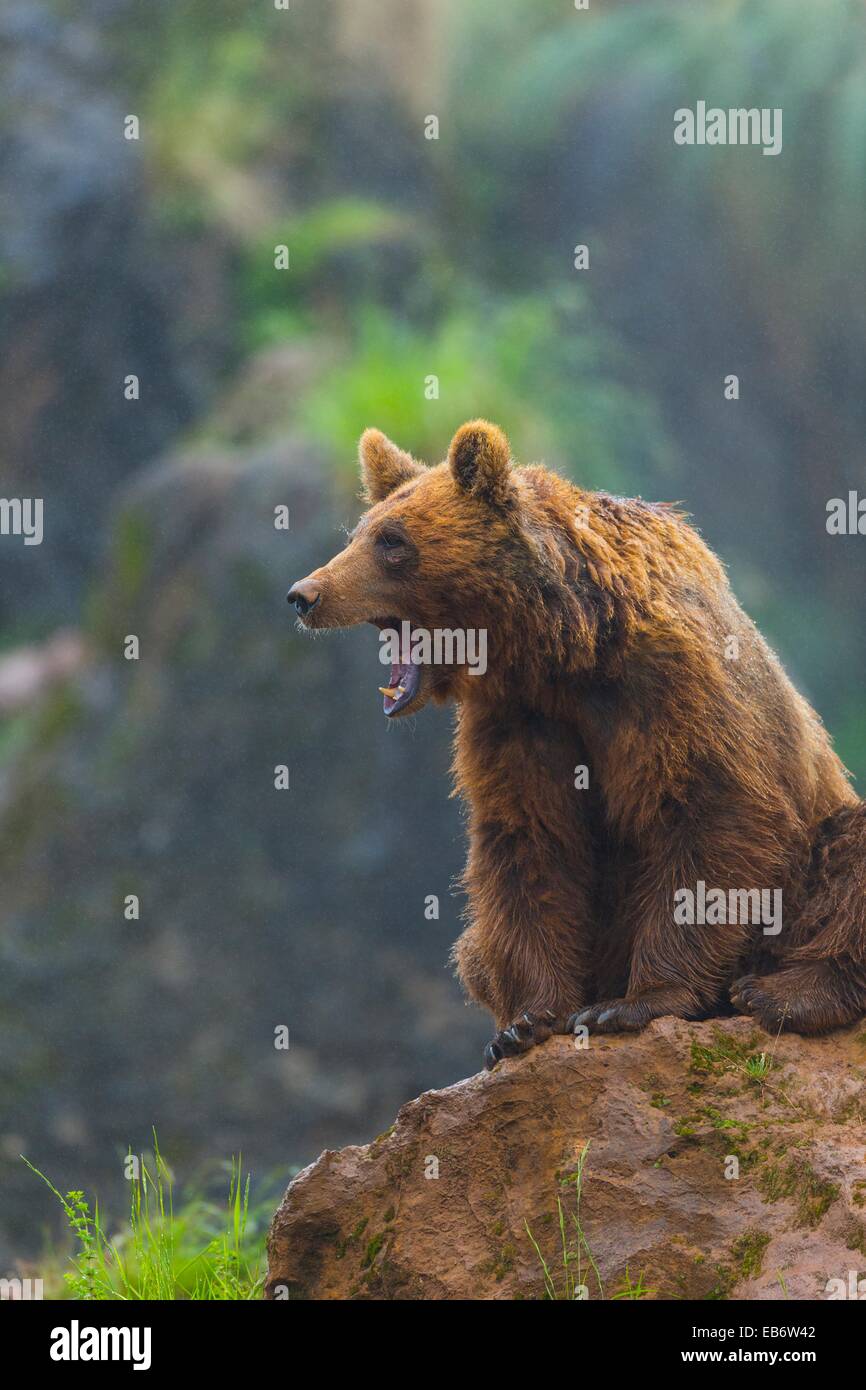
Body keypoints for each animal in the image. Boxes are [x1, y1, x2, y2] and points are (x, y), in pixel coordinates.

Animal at [288, 419, 866, 1069]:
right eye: (358, 533)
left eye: (392, 541)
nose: (304, 595)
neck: (569, 646)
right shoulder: (521, 723)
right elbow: (531, 843)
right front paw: (527, 1022)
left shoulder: (675, 691)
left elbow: (712, 819)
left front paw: (637, 1001)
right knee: (475, 947)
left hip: (804, 880)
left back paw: (783, 992)